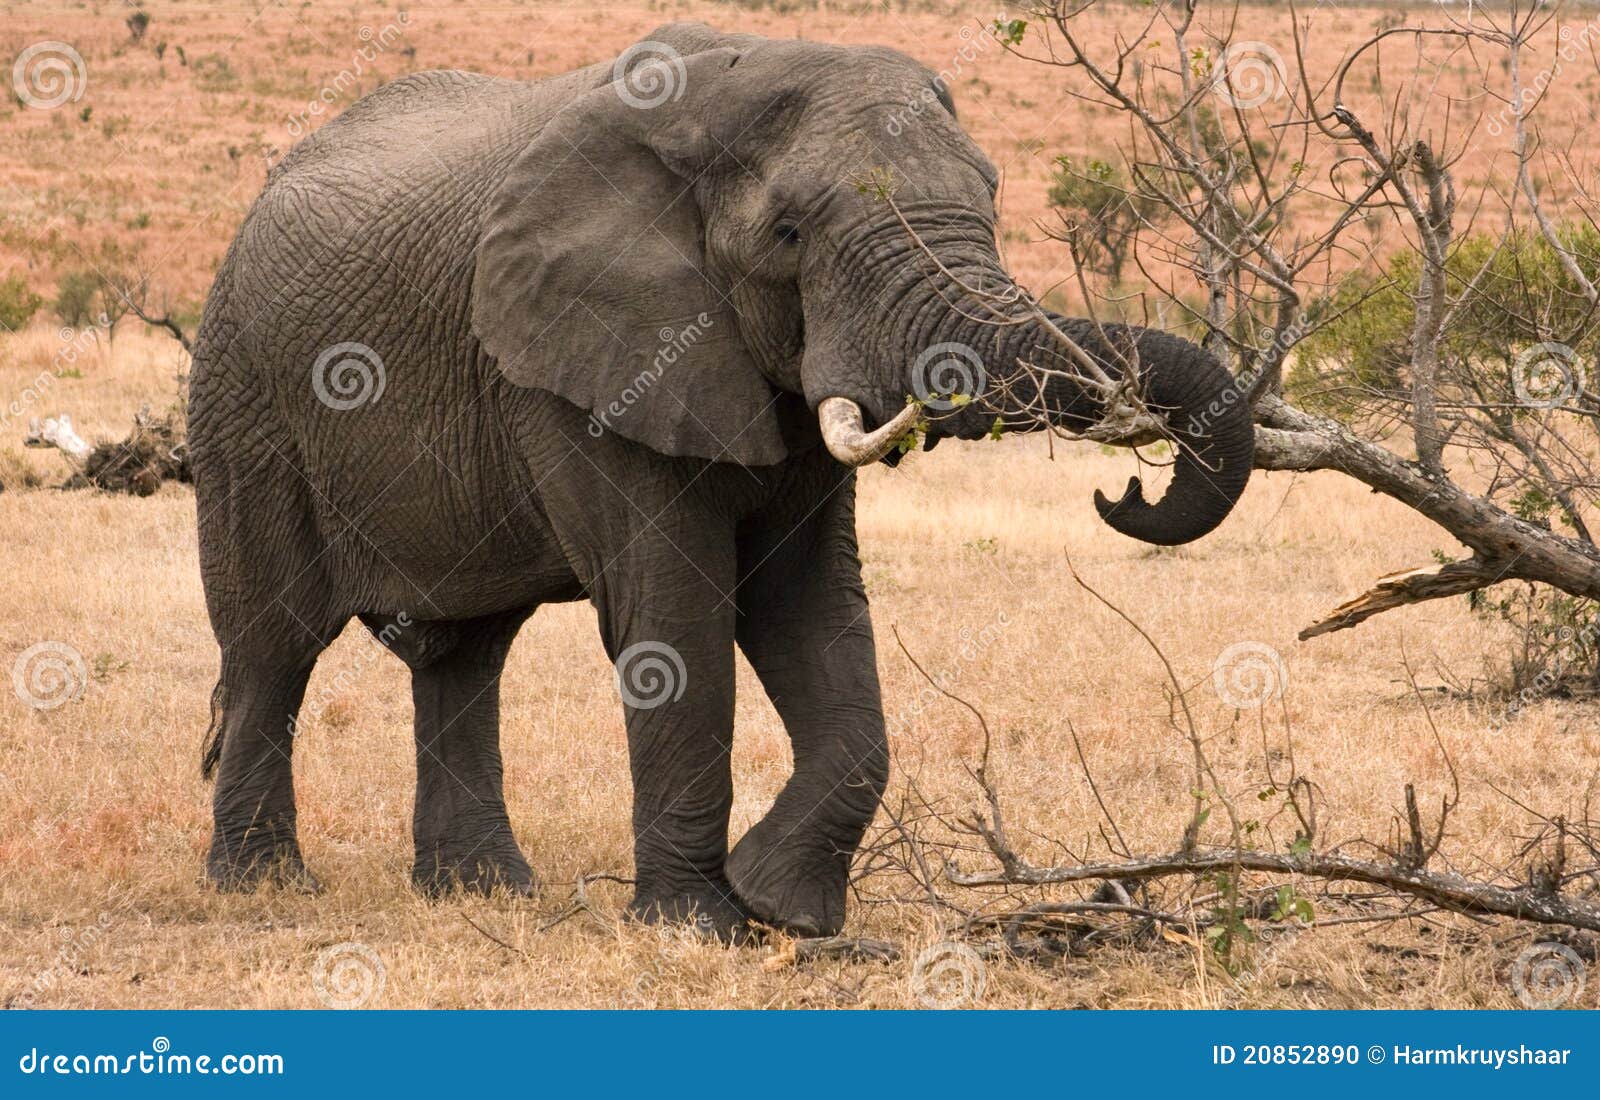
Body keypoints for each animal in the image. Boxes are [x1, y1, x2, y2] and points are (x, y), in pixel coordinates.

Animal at [187, 22, 1253, 939]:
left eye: (992, 200)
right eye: (788, 233)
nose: (1125, 494)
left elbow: (805, 603)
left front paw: (785, 909)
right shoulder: (590, 359)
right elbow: (674, 618)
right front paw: (701, 925)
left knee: (466, 651)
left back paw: (482, 892)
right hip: (241, 390)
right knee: (274, 641)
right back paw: (263, 885)